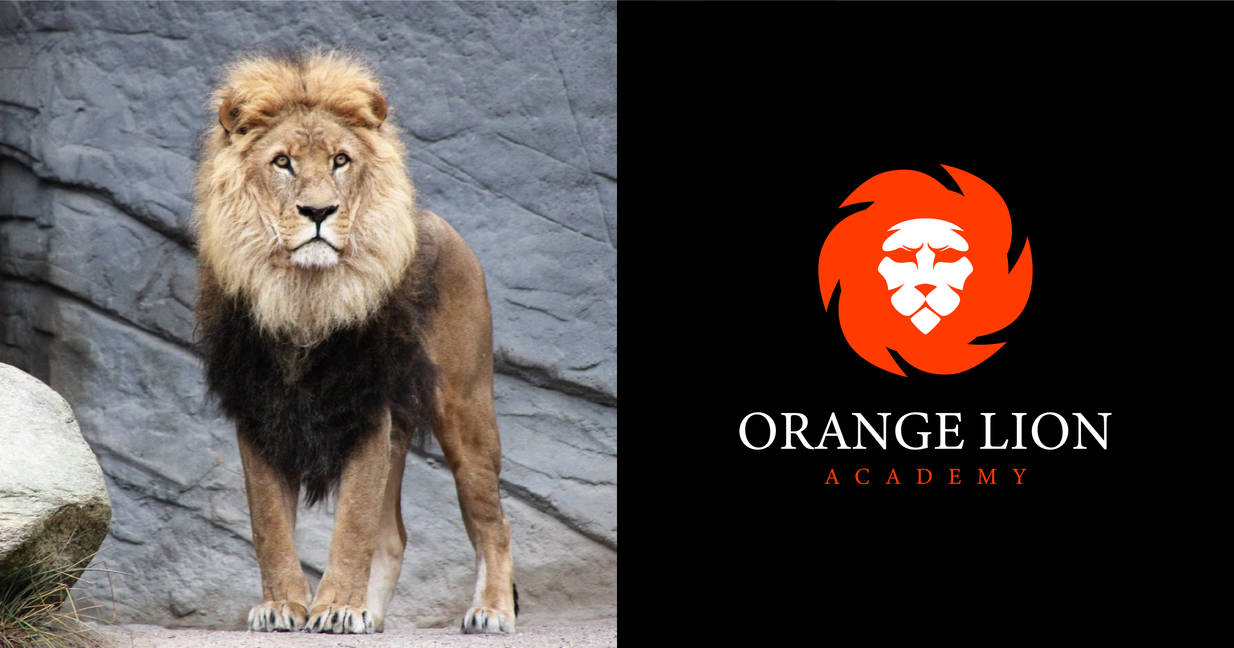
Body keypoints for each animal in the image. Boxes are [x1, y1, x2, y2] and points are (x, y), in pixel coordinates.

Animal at [192, 52, 517, 634]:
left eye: (340, 160)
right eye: (282, 163)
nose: (318, 212)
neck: (303, 297)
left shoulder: (366, 407)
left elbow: (353, 526)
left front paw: (339, 606)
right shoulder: (258, 410)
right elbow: (269, 525)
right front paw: (284, 605)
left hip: (465, 408)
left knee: (494, 521)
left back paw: (490, 611)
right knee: (395, 537)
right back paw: (375, 613)